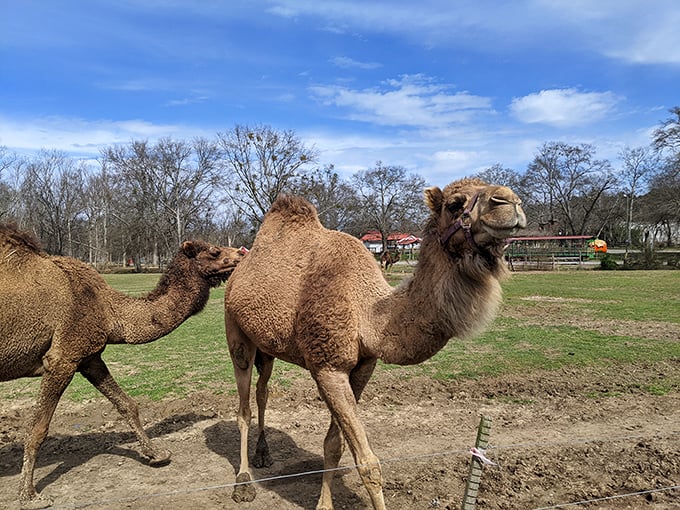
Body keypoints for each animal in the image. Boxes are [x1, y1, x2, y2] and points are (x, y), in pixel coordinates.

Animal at [0, 223, 245, 510]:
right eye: (215, 251)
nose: (243, 252)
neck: (108, 309)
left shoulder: (89, 357)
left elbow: (127, 404)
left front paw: (158, 454)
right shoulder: (63, 357)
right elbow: (38, 428)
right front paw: (28, 495)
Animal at [223, 177, 526, 509]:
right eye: (455, 204)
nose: (510, 202)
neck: (367, 313)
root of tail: (238, 271)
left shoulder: (363, 366)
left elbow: (334, 445)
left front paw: (324, 503)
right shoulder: (328, 367)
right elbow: (368, 463)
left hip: (267, 346)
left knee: (263, 391)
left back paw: (263, 454)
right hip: (236, 334)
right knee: (243, 406)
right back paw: (243, 482)